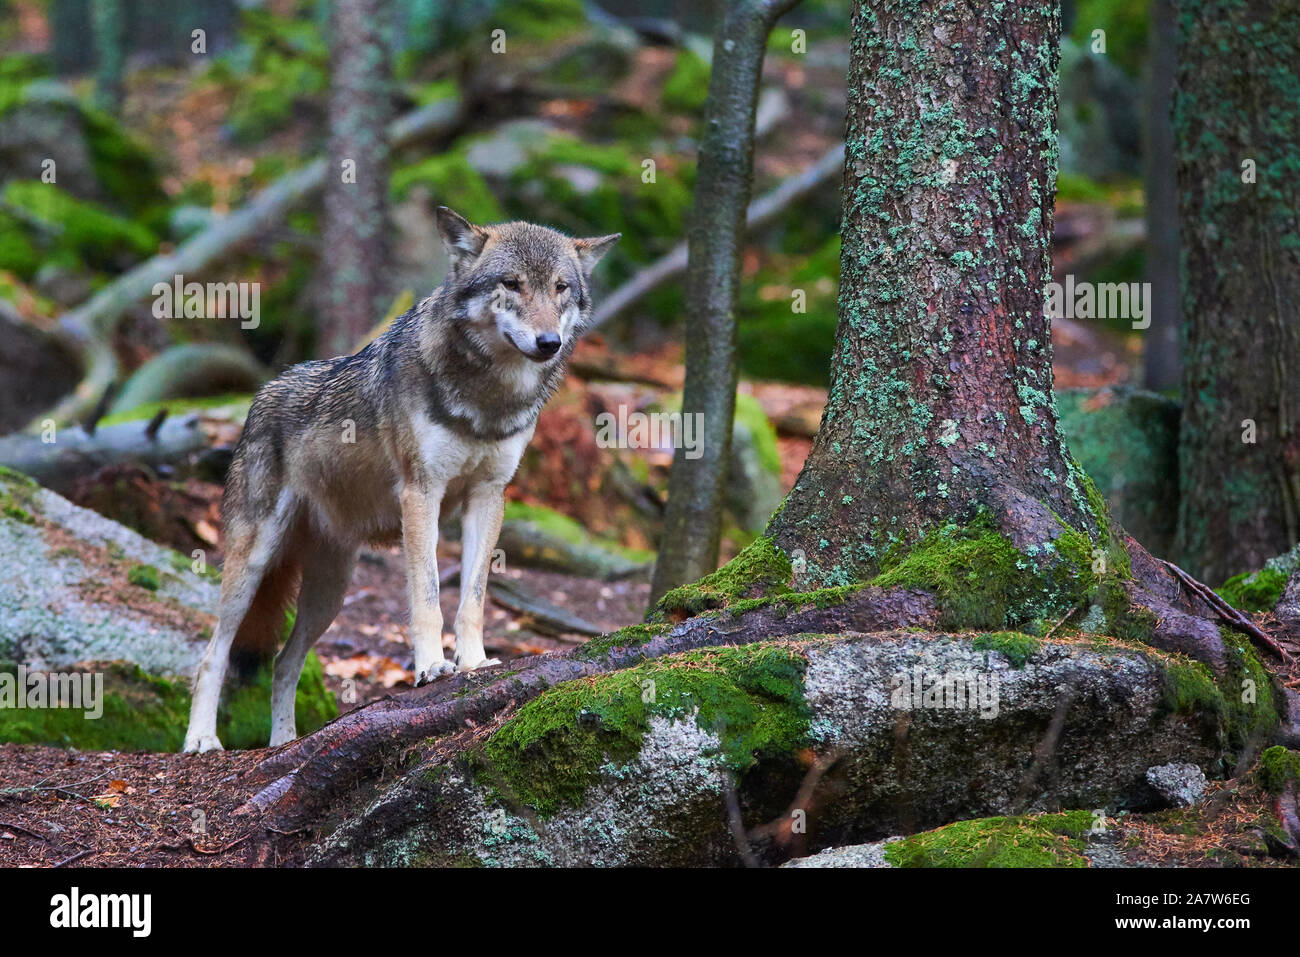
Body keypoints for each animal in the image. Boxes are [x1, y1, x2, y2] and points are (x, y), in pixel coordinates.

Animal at [182, 207, 618, 752]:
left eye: (560, 288)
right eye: (511, 284)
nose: (548, 343)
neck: (488, 398)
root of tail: (261, 395)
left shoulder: (489, 496)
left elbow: (473, 599)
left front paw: (474, 662)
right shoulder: (421, 493)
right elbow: (427, 595)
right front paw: (432, 666)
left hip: (331, 591)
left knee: (284, 663)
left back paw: (283, 743)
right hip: (254, 563)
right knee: (210, 656)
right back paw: (201, 740)